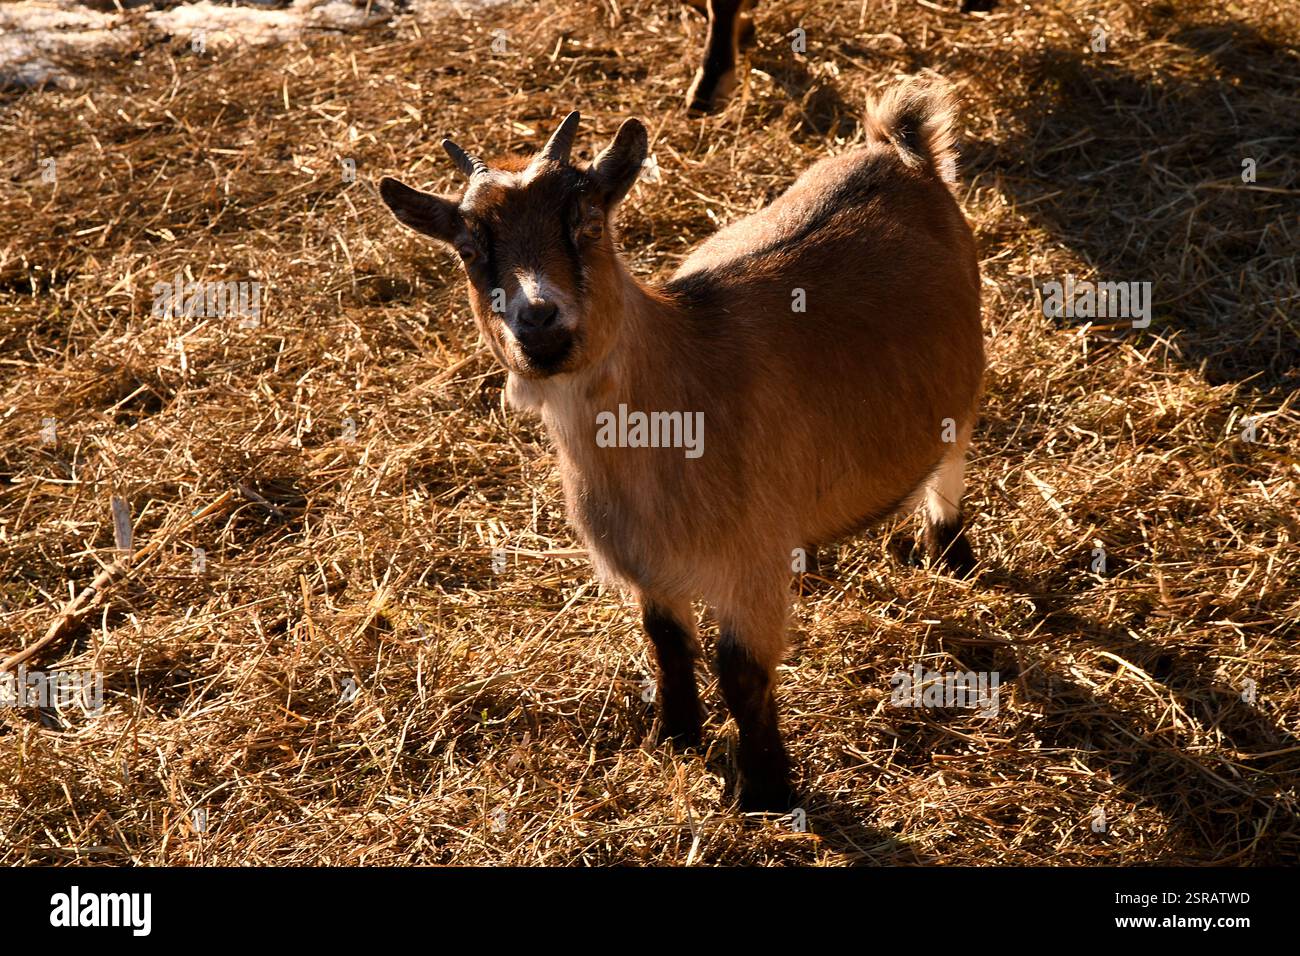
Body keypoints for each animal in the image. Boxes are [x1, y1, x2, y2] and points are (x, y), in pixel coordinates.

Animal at [379, 77, 984, 810]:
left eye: (588, 223)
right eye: (469, 251)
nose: (540, 326)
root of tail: (901, 152)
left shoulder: (749, 568)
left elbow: (741, 673)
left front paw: (766, 790)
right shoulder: (647, 565)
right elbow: (666, 642)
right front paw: (675, 737)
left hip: (964, 390)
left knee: (951, 458)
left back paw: (950, 551)